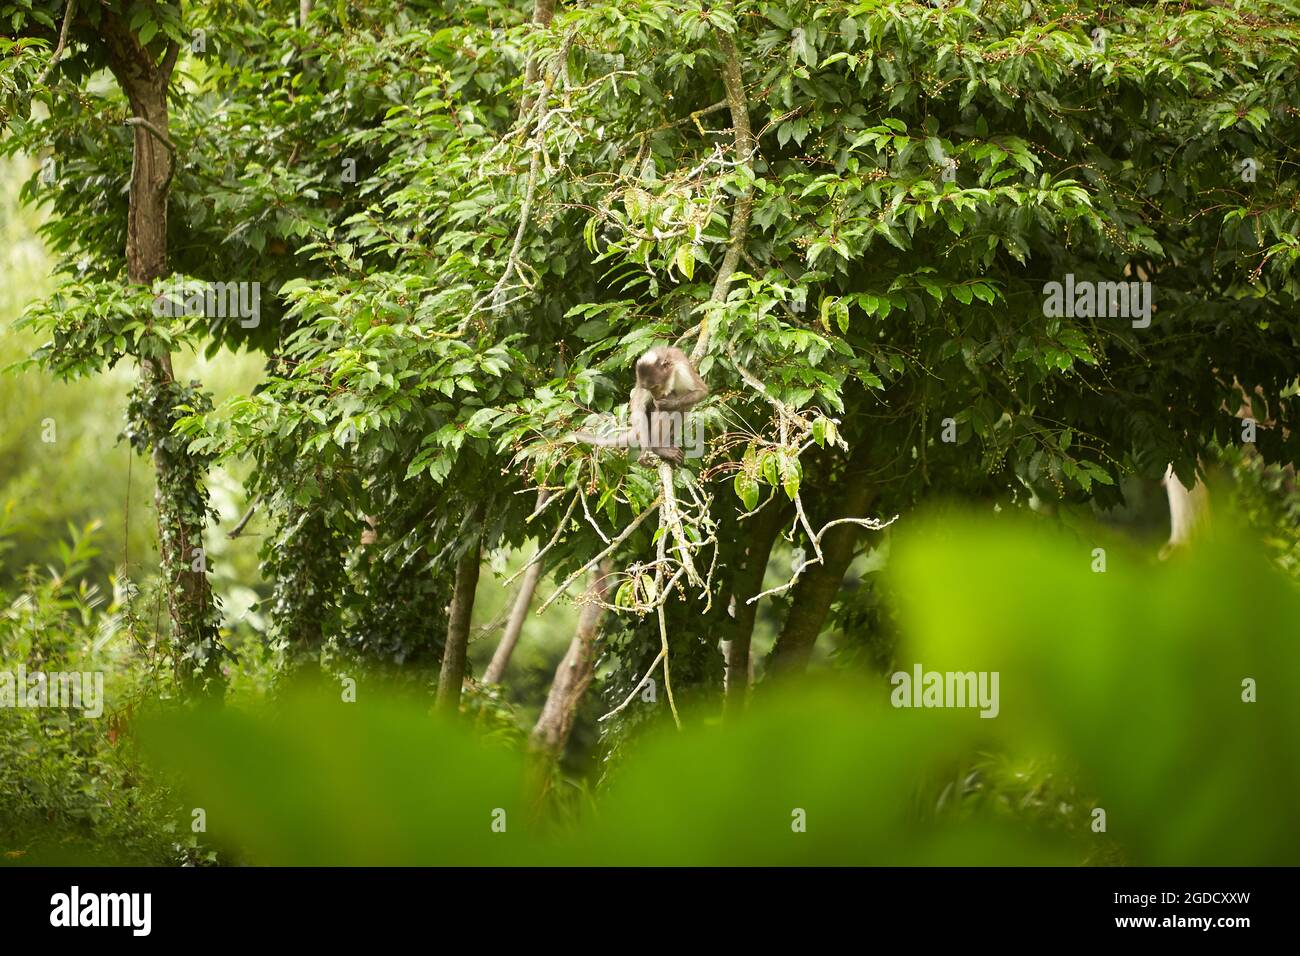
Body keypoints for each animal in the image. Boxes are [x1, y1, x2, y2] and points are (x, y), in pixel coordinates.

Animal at [570, 346, 708, 466]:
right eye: (650, 389)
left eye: (655, 387)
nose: (655, 396)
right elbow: (639, 407)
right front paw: (645, 451)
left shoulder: (682, 368)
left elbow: (702, 392)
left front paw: (669, 404)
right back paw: (657, 448)